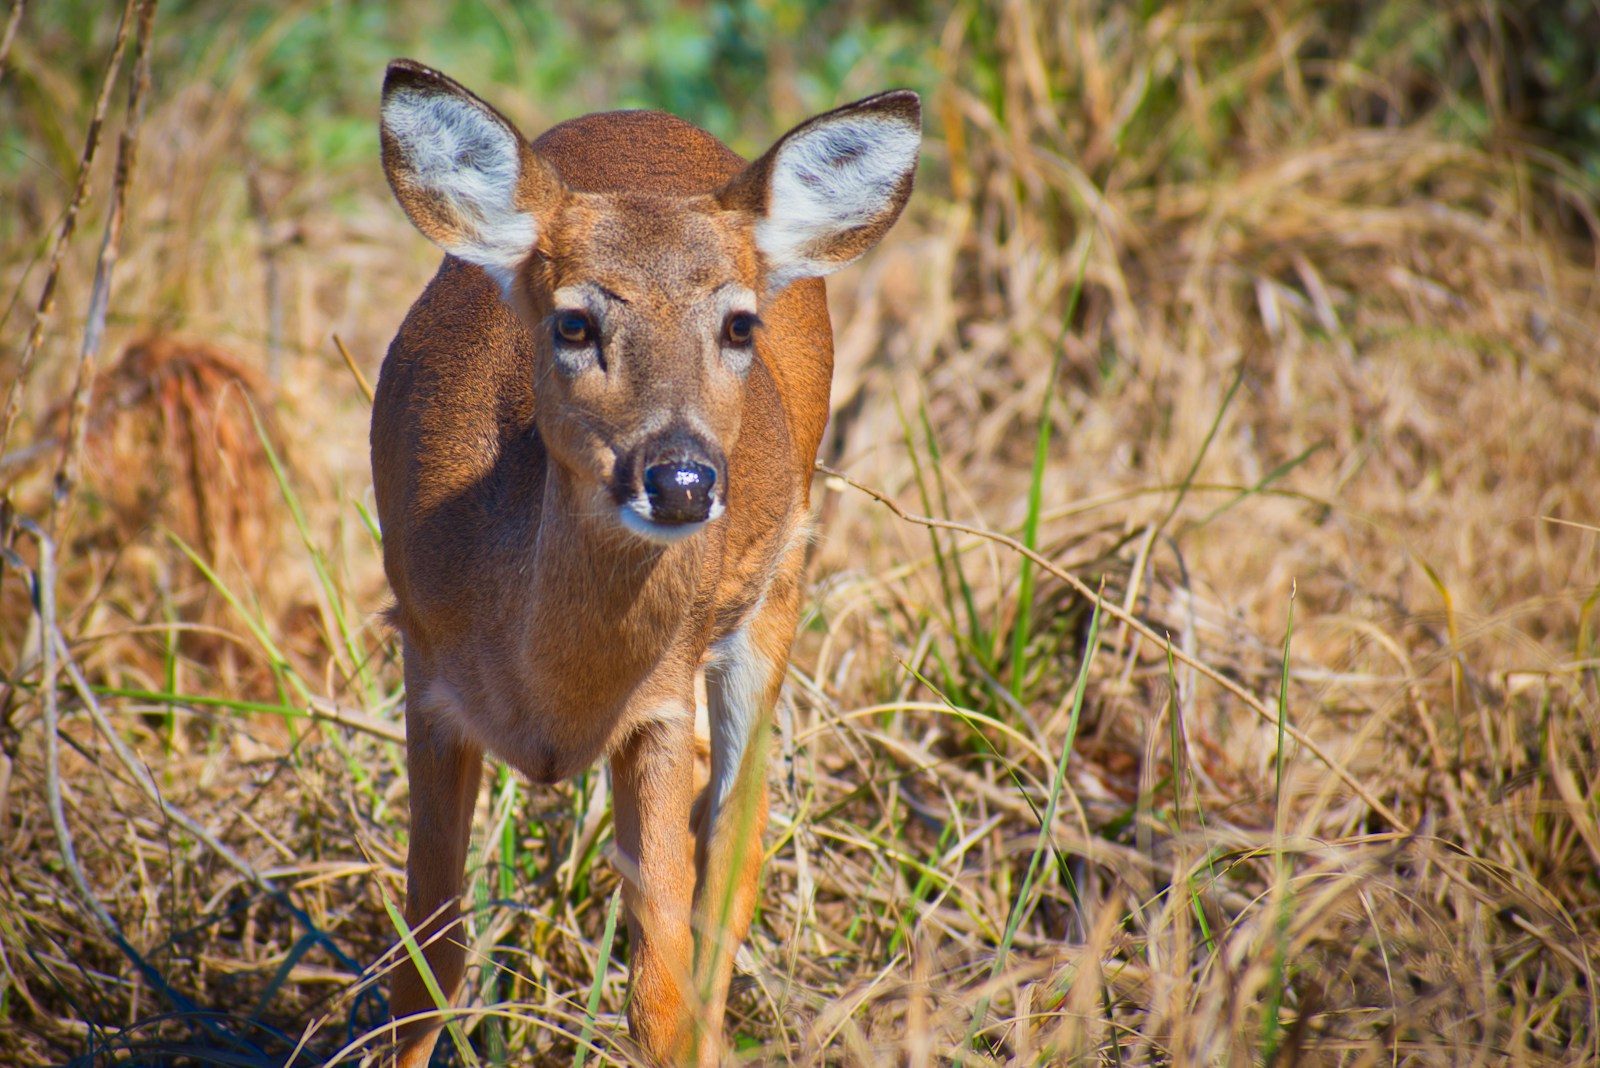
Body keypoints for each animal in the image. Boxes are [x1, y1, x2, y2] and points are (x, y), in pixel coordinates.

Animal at [371, 59, 919, 1066]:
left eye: (738, 326)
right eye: (574, 323)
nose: (682, 479)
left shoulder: (659, 703)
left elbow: (658, 985)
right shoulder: (423, 666)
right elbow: (426, 959)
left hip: (778, 588)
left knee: (734, 851)